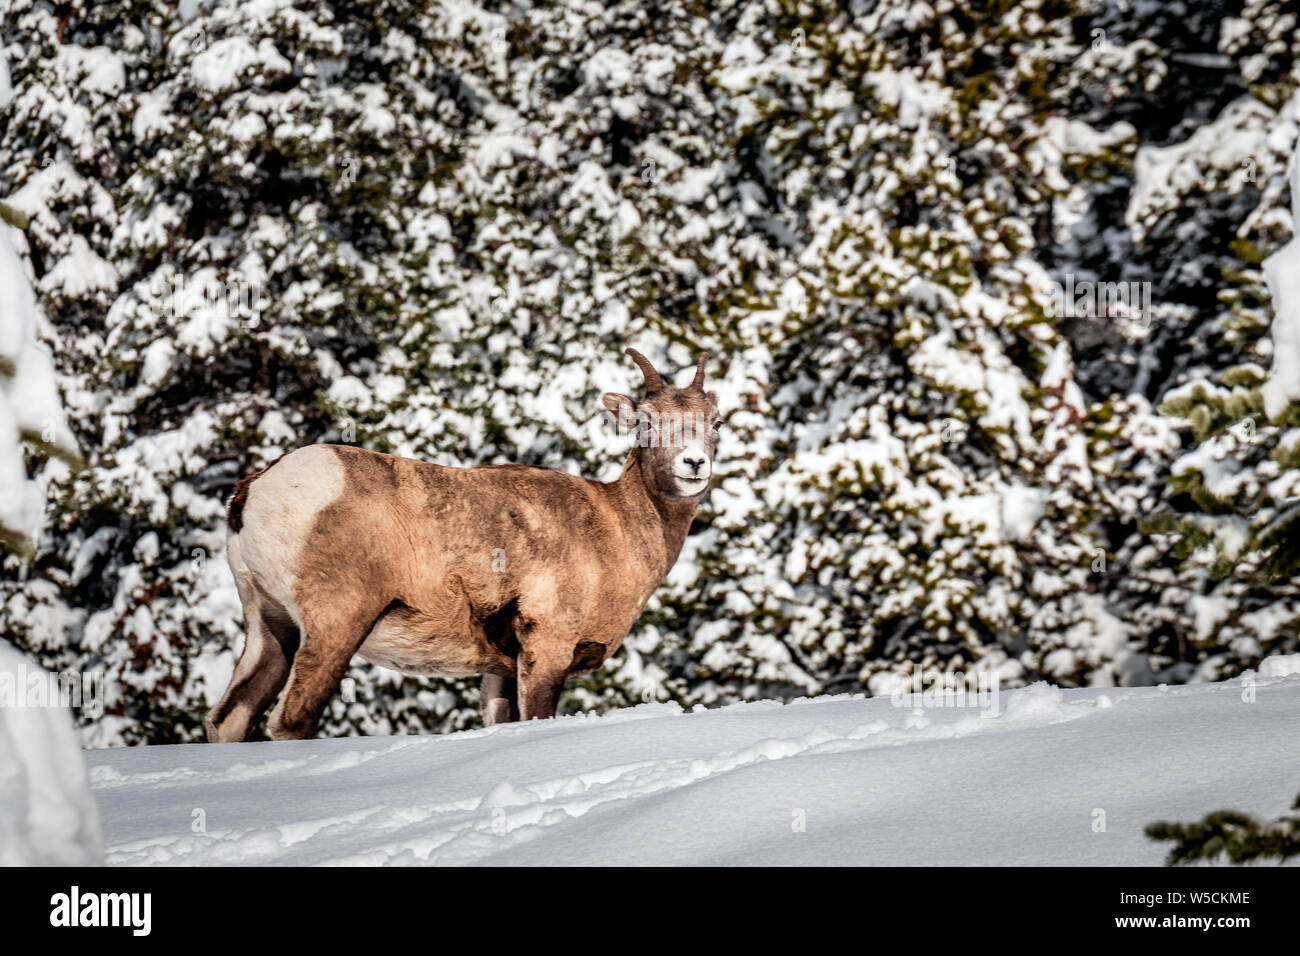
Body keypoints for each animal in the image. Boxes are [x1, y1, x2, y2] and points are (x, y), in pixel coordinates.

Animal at [204, 348, 721, 741]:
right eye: (647, 423)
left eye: (714, 423)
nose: (693, 464)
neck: (617, 532)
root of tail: (253, 492)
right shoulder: (547, 648)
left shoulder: (499, 669)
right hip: (335, 625)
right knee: (292, 722)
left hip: (270, 626)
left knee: (227, 719)